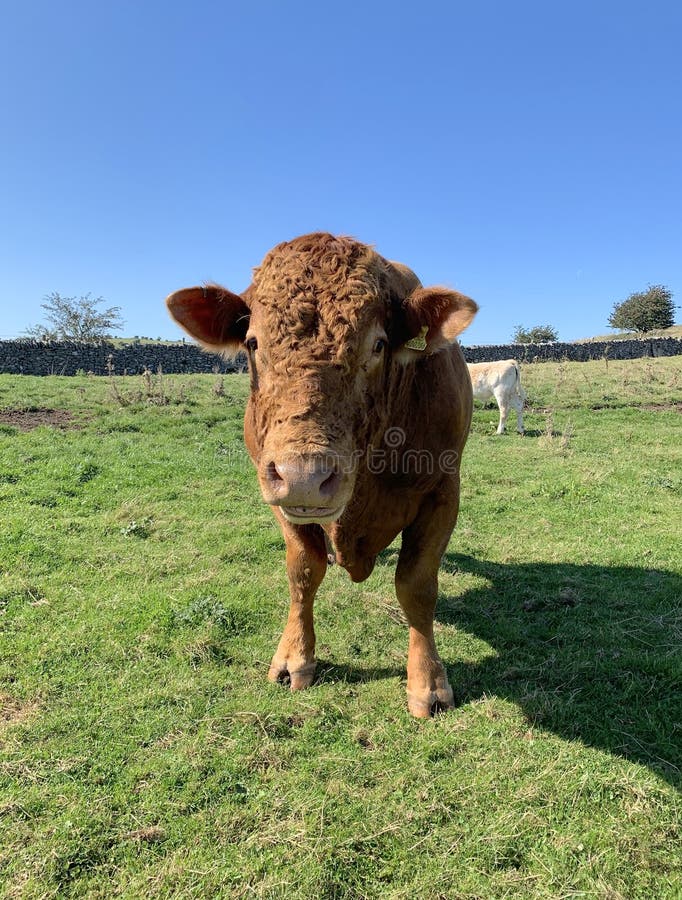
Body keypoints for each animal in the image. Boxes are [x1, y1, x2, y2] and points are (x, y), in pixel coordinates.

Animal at [166, 233, 478, 718]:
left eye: (378, 344)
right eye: (252, 343)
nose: (304, 476)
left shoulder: (443, 491)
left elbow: (417, 585)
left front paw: (427, 683)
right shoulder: (279, 498)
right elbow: (303, 573)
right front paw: (295, 659)